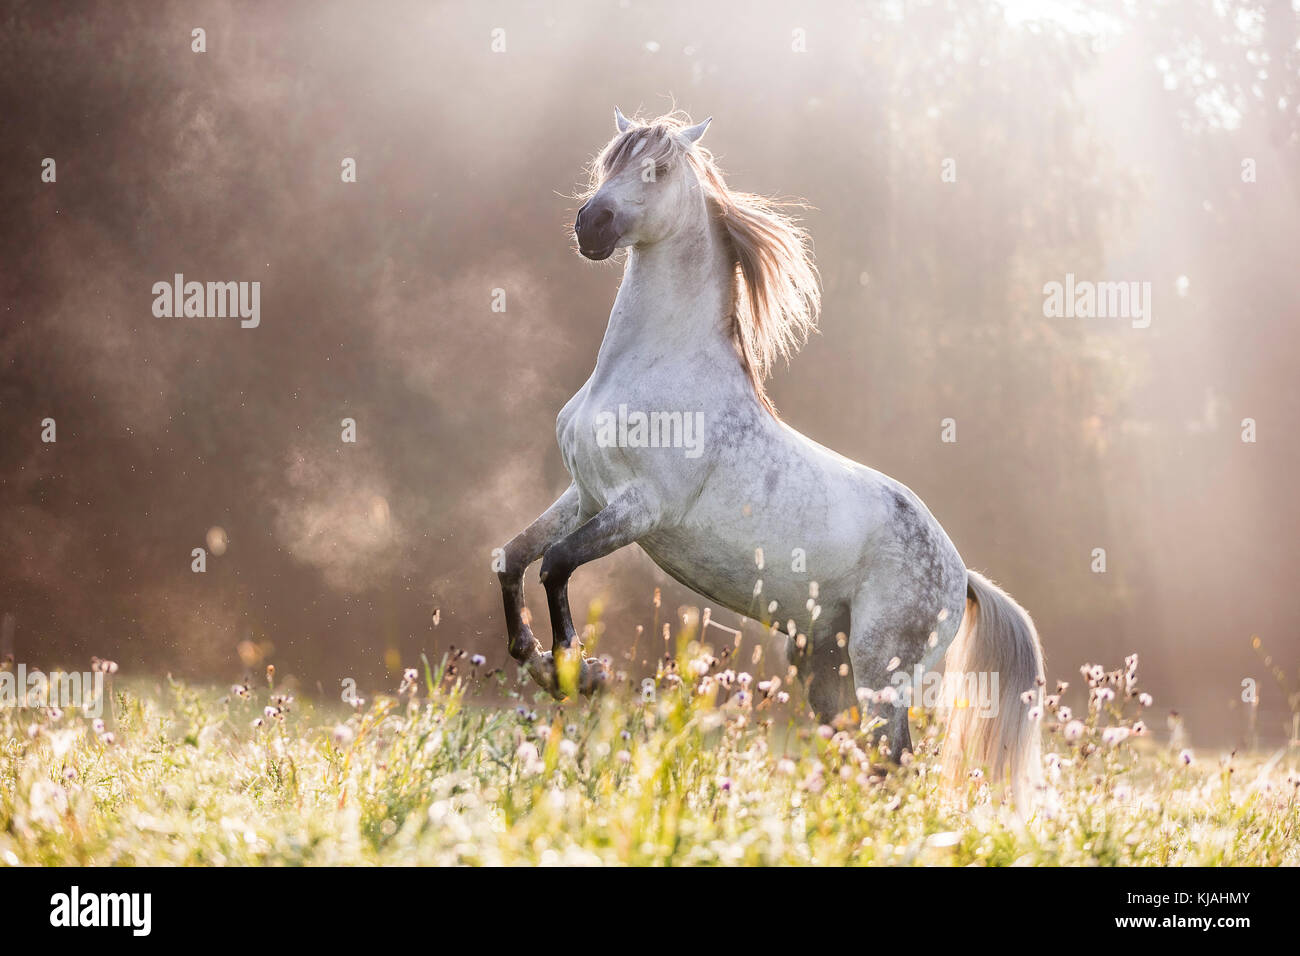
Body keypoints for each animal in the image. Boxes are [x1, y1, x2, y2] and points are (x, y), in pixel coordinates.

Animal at [496, 108, 1045, 804]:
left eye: (659, 168)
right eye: (607, 163)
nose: (591, 225)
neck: (649, 368)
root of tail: (963, 574)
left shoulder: (640, 509)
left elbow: (557, 565)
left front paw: (575, 672)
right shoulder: (586, 494)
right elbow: (513, 558)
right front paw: (533, 657)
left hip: (881, 669)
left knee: (893, 761)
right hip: (825, 667)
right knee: (861, 756)